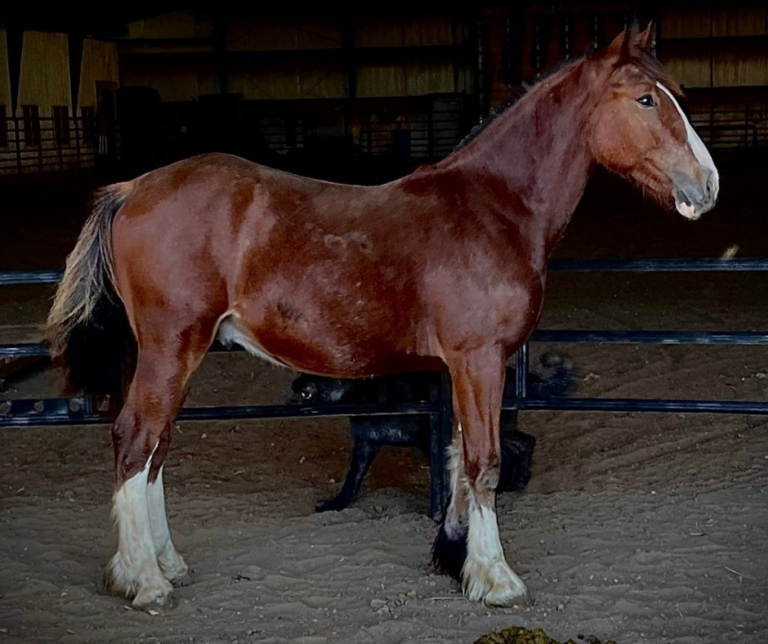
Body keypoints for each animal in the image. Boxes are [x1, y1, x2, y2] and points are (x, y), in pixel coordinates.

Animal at [44, 24, 718, 611]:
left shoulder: (460, 369)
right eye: (646, 98)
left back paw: (166, 564)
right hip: (172, 347)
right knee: (136, 440)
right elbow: (486, 462)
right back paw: (144, 582)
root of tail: (133, 187)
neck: (494, 207)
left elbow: (458, 458)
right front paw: (496, 579)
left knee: (155, 448)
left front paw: (454, 558)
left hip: (173, 353)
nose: (707, 186)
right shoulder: (479, 360)